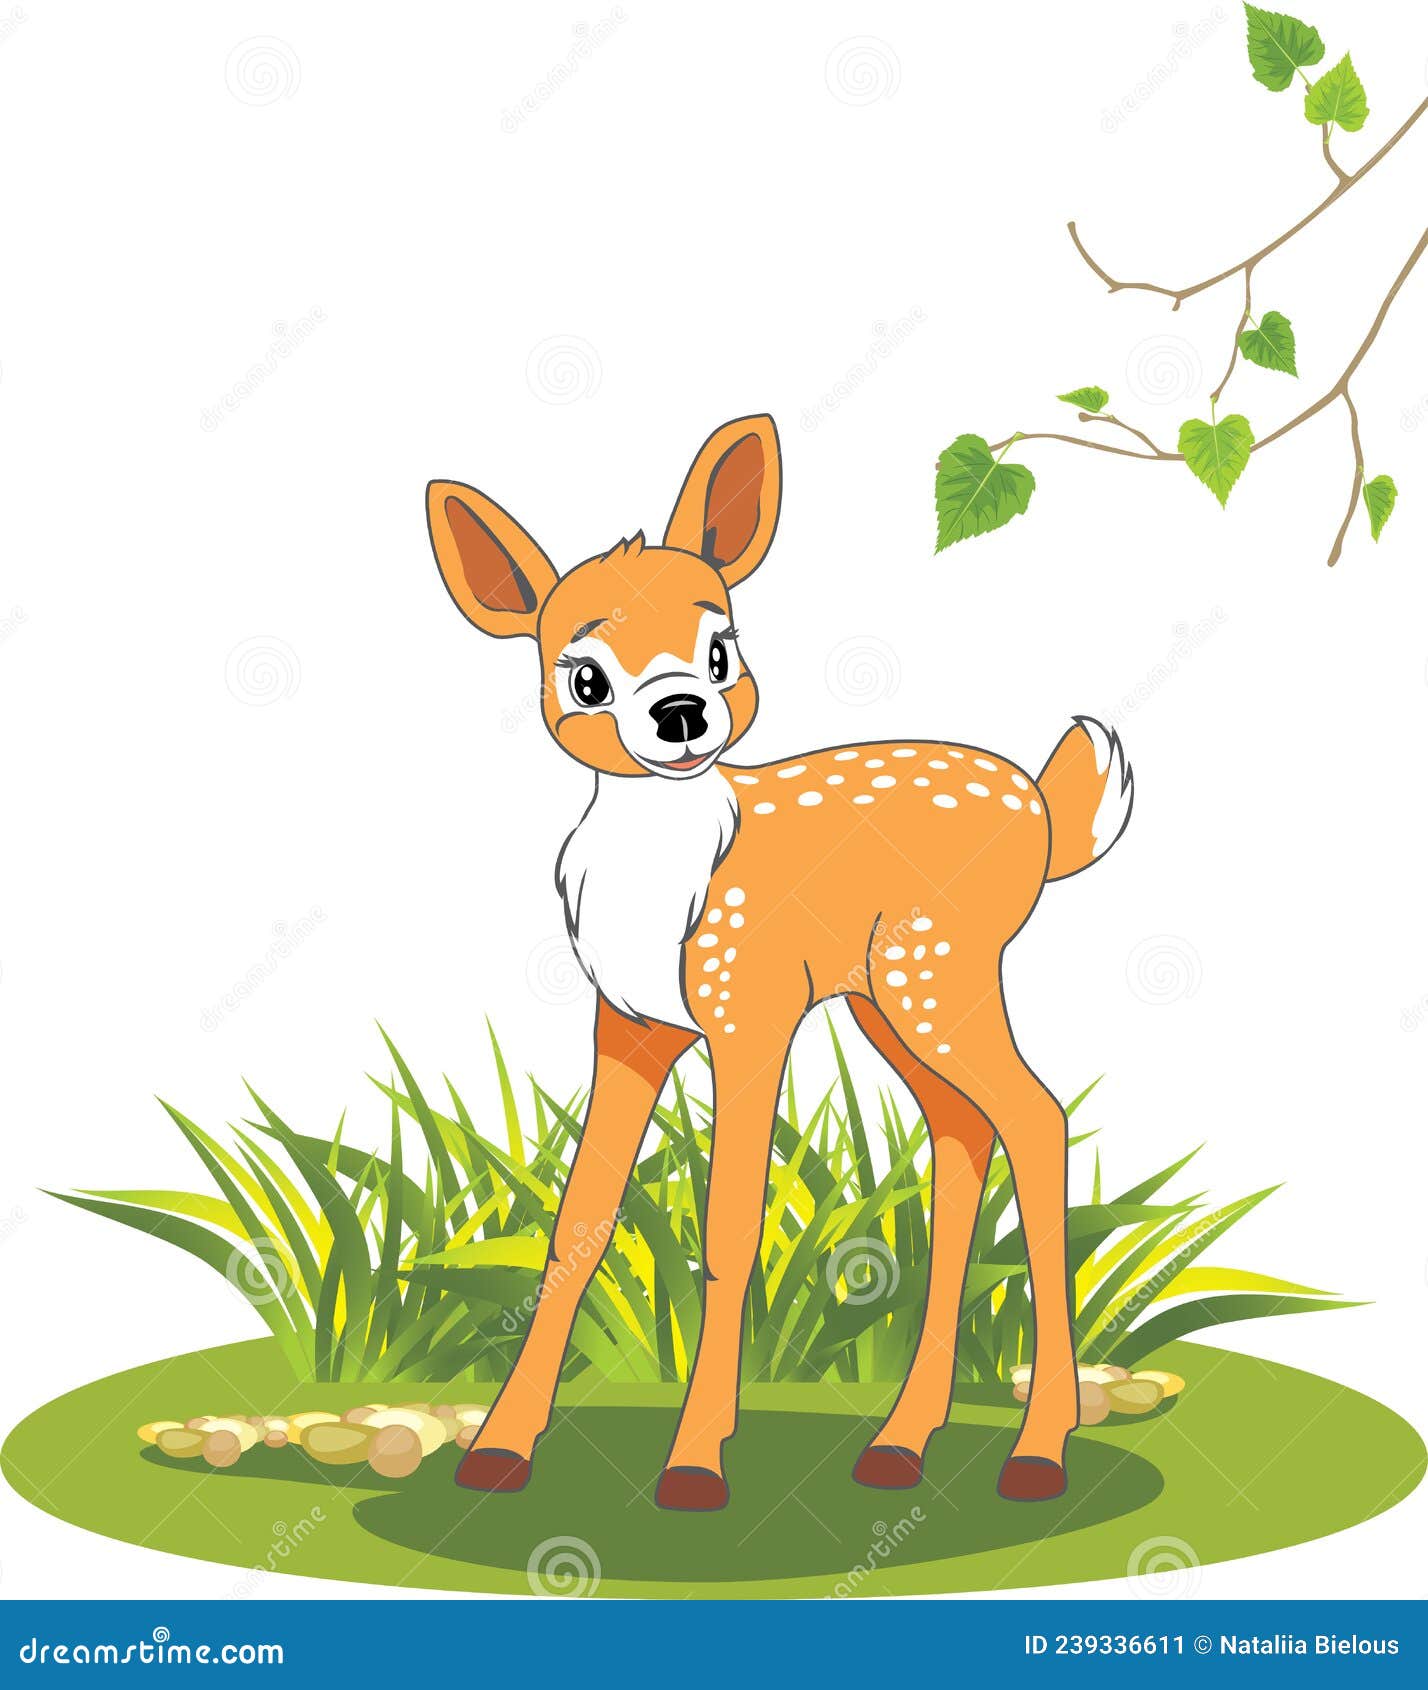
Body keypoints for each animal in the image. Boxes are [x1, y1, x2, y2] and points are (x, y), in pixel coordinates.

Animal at [425, 414, 1133, 1511]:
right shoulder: (630, 1025)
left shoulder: (747, 1006)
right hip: (889, 993)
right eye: (583, 676)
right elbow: (579, 1225)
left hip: (943, 968)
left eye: (721, 650)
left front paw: (694, 1467)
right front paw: (498, 1453)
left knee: (1037, 1118)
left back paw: (1036, 1455)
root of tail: (1047, 813)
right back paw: (898, 1444)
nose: (680, 712)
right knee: (963, 1130)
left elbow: (729, 1229)